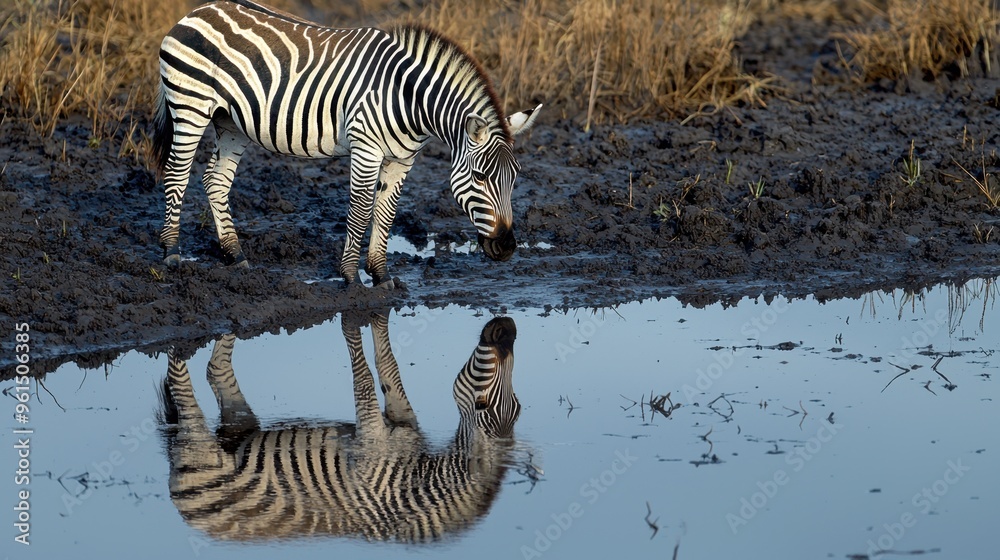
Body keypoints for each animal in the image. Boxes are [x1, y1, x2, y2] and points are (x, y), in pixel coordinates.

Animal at [153, 0, 541, 287]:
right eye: (480, 177)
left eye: (514, 178)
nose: (507, 248)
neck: (408, 98)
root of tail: (197, 10)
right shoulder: (366, 147)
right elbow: (359, 210)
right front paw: (351, 276)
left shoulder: (403, 159)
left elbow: (385, 213)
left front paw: (381, 274)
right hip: (190, 106)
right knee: (176, 174)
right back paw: (171, 252)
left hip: (230, 122)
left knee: (215, 181)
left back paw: (234, 254)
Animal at [158, 311, 522, 542]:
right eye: (484, 404)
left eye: (516, 409)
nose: (508, 325)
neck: (414, 481)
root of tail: (191, 519)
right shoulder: (371, 440)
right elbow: (364, 379)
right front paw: (351, 321)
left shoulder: (402, 422)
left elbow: (388, 368)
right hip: (198, 445)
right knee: (179, 378)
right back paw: (180, 335)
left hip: (239, 428)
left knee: (215, 370)